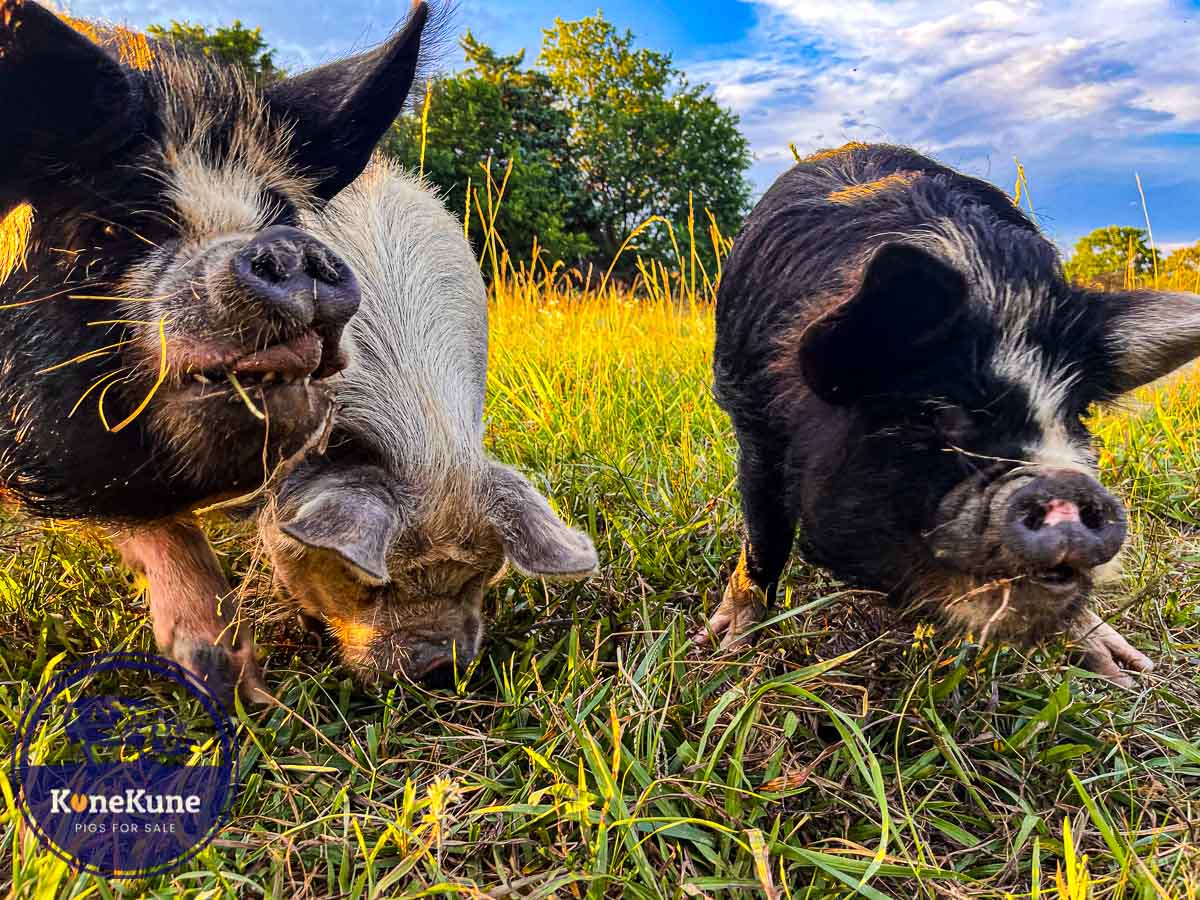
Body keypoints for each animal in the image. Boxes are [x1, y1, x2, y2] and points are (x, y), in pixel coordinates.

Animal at [700, 142, 1200, 686]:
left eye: (1077, 415)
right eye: (938, 413)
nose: (1067, 484)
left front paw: (1126, 675)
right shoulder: (752, 417)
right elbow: (764, 535)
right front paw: (723, 652)